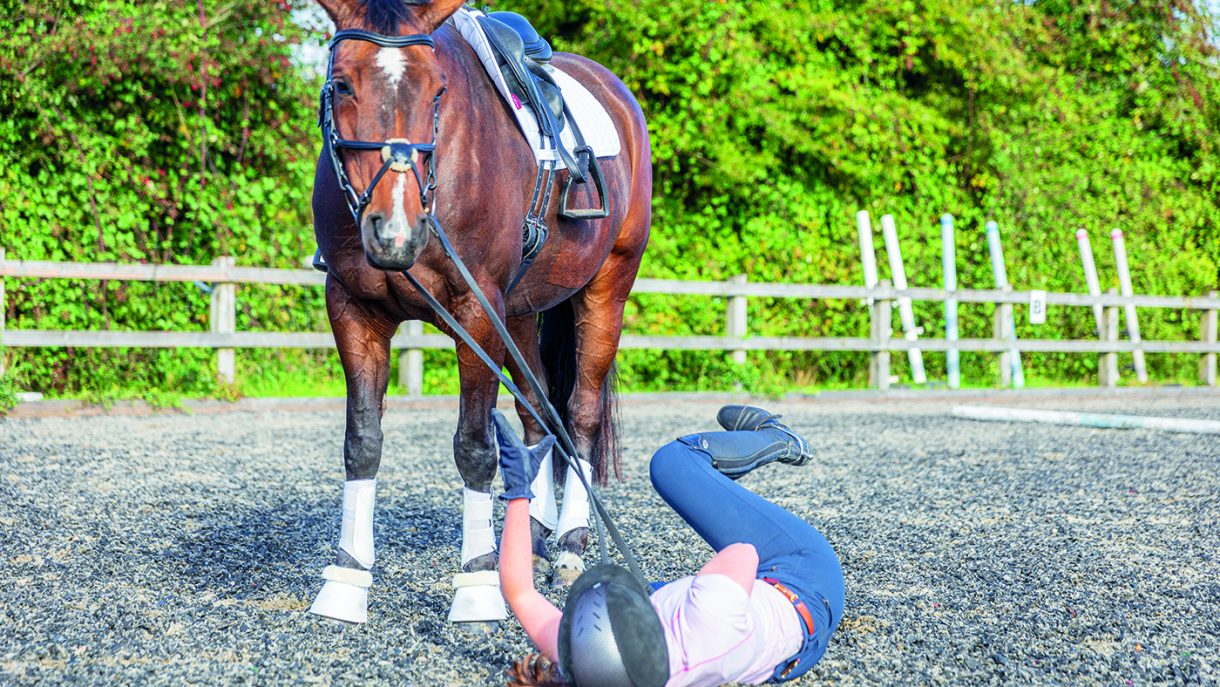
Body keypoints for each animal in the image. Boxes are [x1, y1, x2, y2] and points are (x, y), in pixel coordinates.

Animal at [306, 0, 651, 626]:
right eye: (341, 83)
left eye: (438, 90)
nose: (395, 230)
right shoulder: (352, 306)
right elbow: (362, 441)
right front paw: (346, 581)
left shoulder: (477, 311)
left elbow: (473, 446)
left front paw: (477, 587)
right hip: (519, 314)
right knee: (539, 411)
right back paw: (530, 535)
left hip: (605, 289)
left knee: (580, 415)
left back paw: (570, 545)